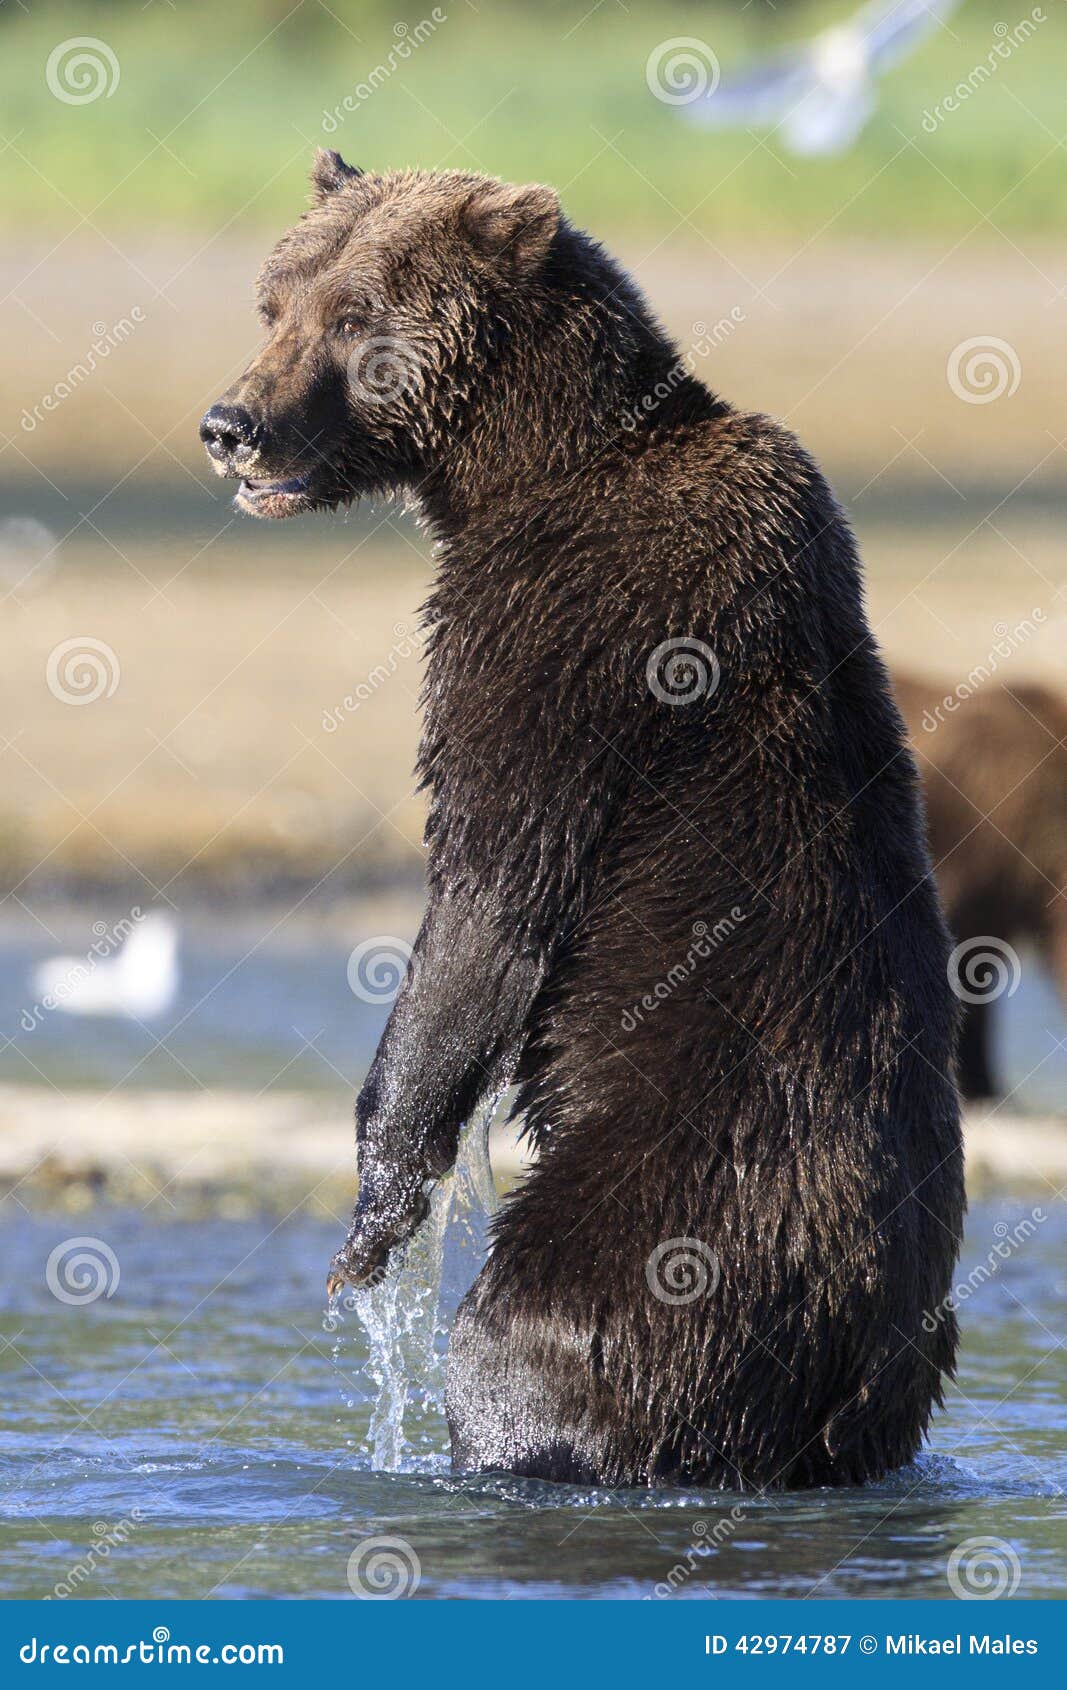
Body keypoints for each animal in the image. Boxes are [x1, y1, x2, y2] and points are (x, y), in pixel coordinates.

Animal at [201, 151, 964, 1490]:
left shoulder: (562, 639)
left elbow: (492, 894)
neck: (526, 464)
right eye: (272, 301)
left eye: (352, 316)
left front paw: (374, 1218)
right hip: (892, 1366)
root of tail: (850, 1348)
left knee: (536, 1335)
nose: (228, 423)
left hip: (681, 1205)